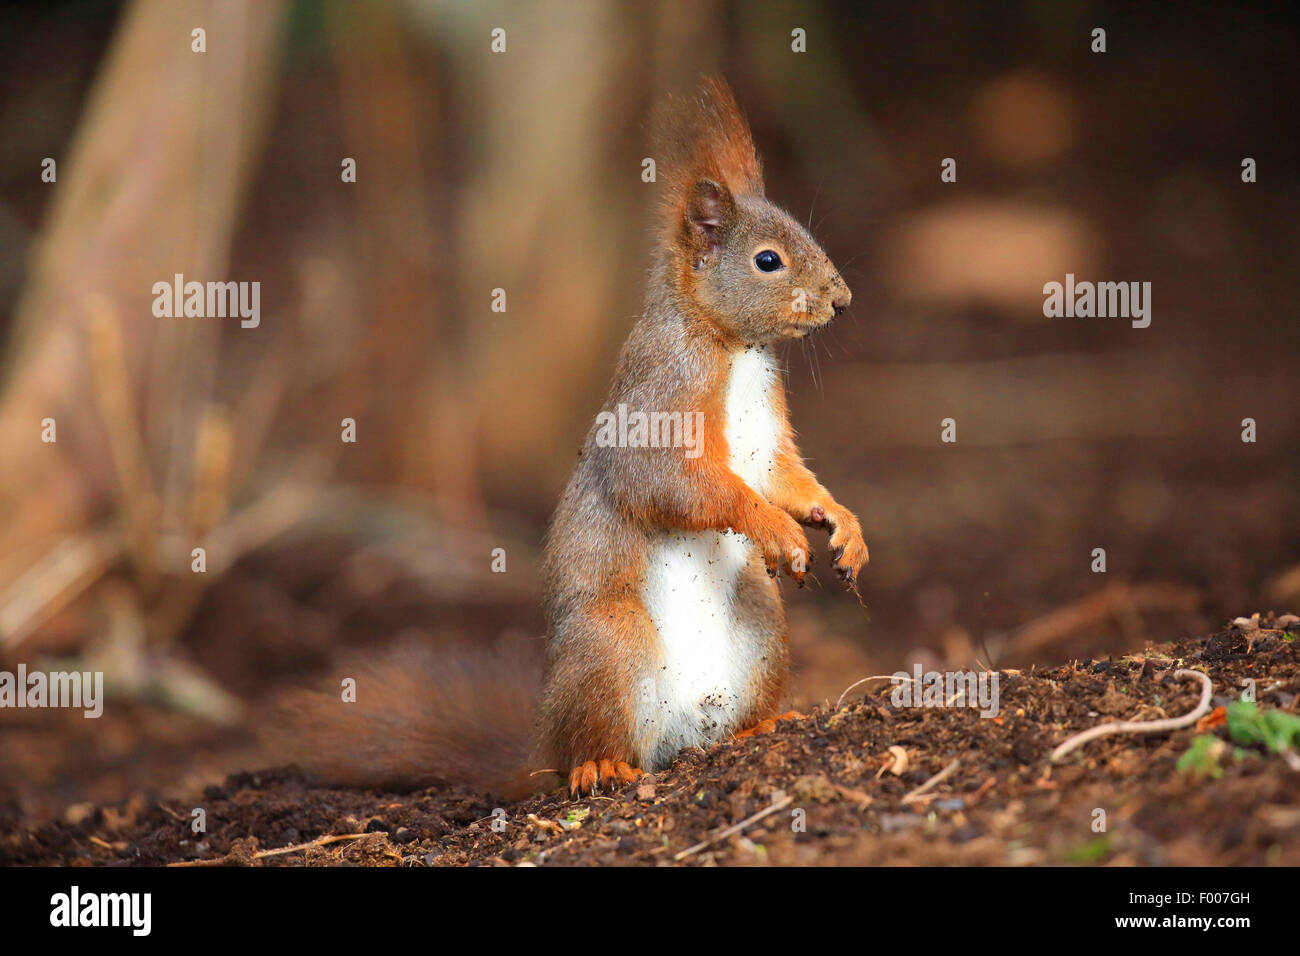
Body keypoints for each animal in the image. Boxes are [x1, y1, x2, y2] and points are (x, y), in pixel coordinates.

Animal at [274, 77, 867, 800]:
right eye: (768, 261)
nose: (841, 299)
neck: (734, 348)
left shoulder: (767, 443)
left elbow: (788, 478)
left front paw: (841, 524)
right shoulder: (659, 405)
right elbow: (674, 484)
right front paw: (775, 528)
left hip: (762, 625)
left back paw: (762, 727)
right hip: (610, 643)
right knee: (597, 744)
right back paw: (600, 765)